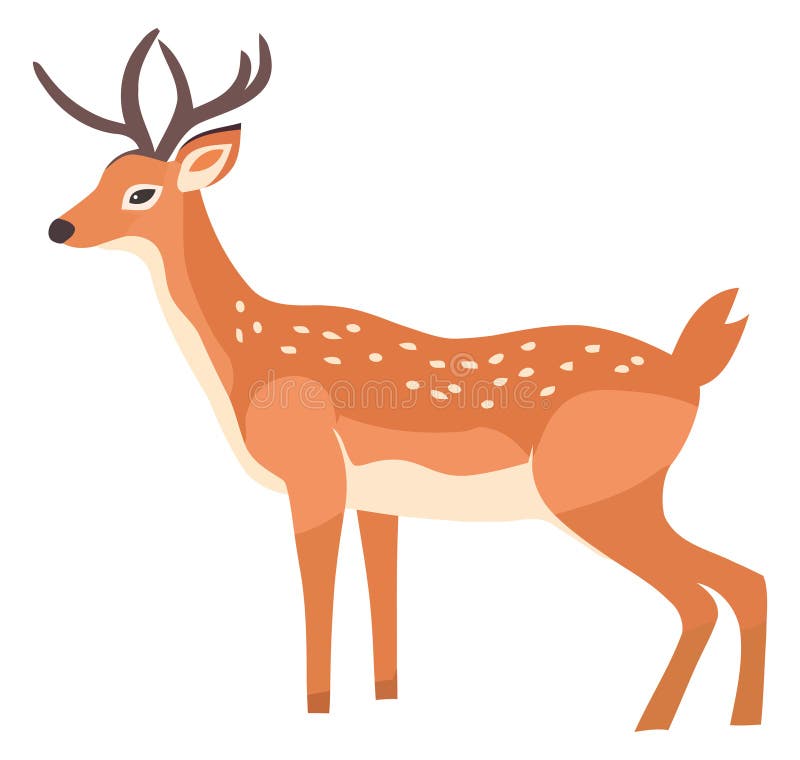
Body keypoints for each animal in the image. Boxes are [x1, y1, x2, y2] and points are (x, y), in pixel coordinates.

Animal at [34, 29, 766, 730]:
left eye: (142, 191)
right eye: (102, 172)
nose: (58, 226)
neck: (250, 358)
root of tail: (691, 368)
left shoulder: (314, 476)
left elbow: (320, 593)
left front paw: (317, 710)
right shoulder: (377, 496)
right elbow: (381, 593)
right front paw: (386, 700)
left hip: (594, 490)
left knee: (705, 596)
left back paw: (653, 725)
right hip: (627, 494)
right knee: (743, 582)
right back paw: (736, 720)